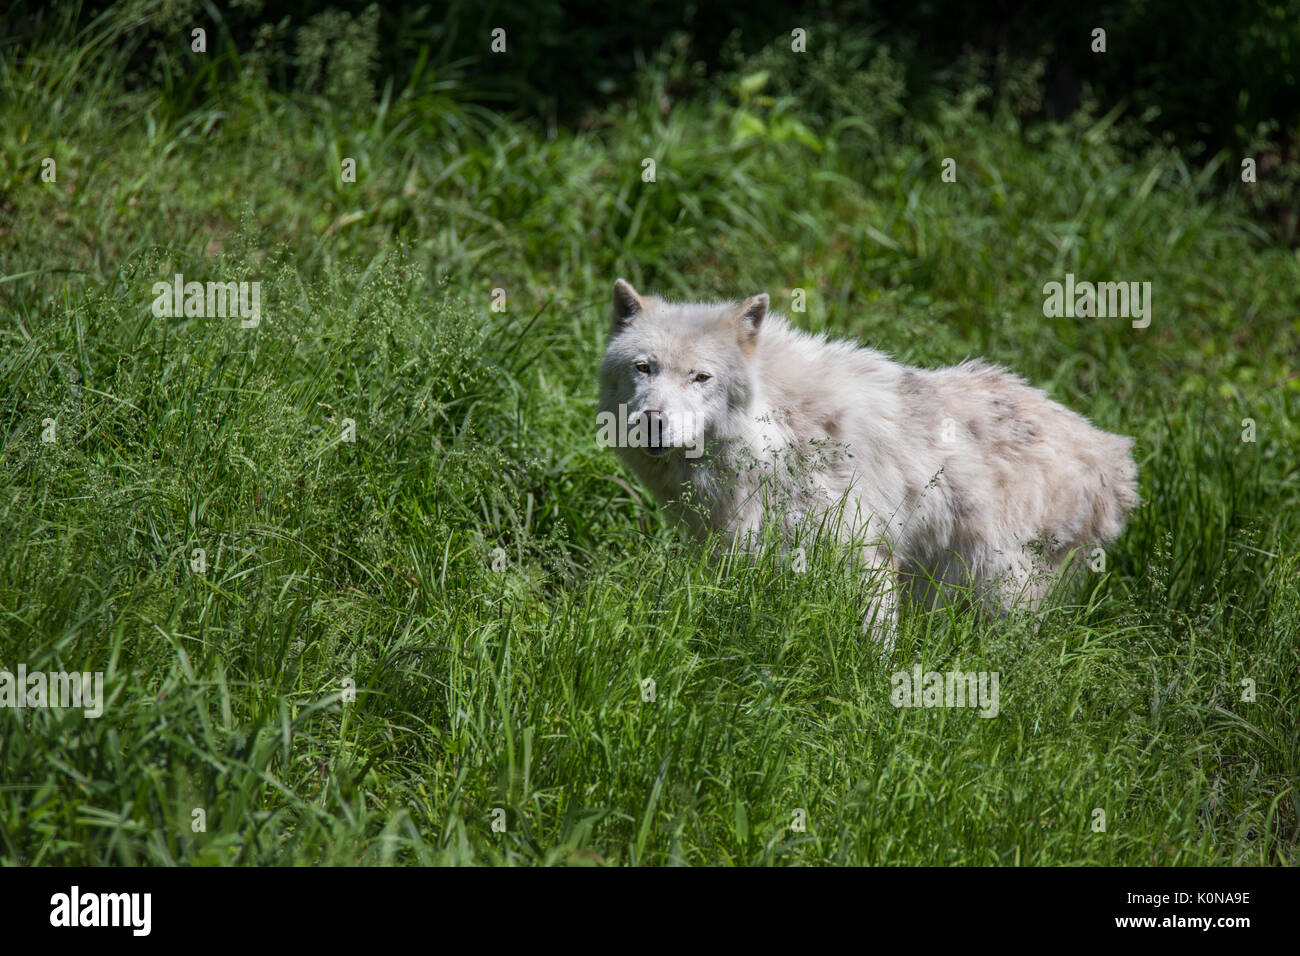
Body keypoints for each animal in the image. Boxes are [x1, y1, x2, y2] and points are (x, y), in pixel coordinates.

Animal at [598, 279, 1139, 642]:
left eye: (701, 377)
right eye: (644, 367)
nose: (652, 421)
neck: (776, 429)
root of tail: (1111, 453)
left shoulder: (862, 550)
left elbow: (875, 640)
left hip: (998, 584)